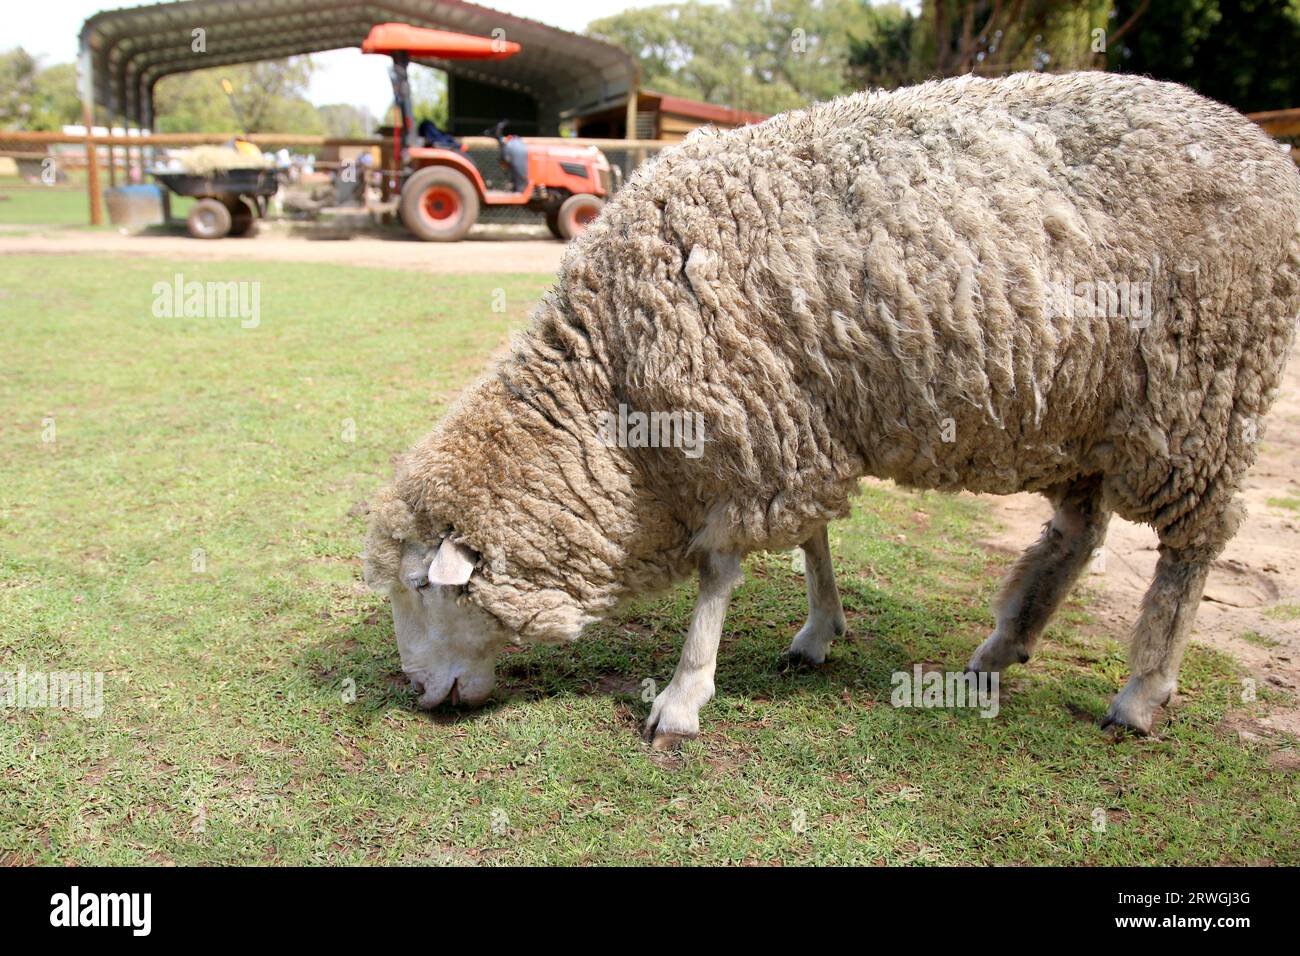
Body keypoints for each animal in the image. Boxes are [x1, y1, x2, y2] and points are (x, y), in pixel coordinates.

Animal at [364, 71, 1300, 747]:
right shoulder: (794, 418)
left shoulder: (744, 418)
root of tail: (1263, 149)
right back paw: (1001, 649)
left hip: (1200, 392)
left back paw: (1141, 693)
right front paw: (819, 628)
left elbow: (719, 571)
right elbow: (811, 536)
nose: (416, 692)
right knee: (1079, 533)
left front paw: (683, 698)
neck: (615, 382)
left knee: (1190, 547)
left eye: (423, 588)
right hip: (1083, 409)